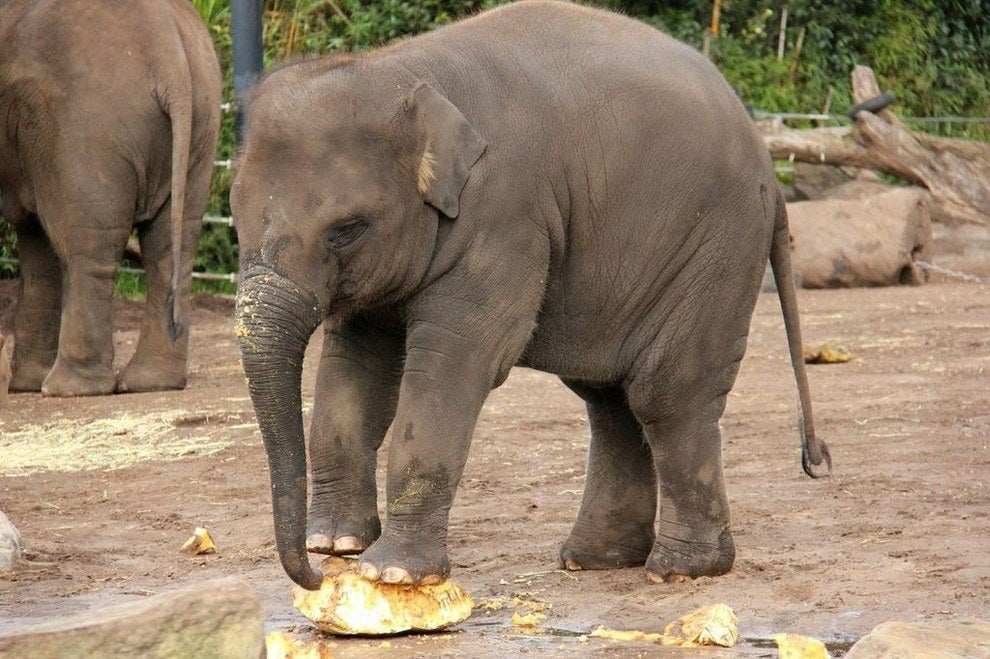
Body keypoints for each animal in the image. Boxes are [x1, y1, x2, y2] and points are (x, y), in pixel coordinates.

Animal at [0, 0, 222, 396]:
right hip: (202, 126)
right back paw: (148, 382)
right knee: (170, 248)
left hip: (85, 130)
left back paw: (67, 388)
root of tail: (170, 59)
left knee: (88, 249)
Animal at [232, 0, 832, 591]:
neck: (400, 71)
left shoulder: (504, 216)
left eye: (346, 229)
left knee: (664, 395)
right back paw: (595, 560)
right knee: (610, 400)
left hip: (716, 248)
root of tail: (768, 162)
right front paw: (336, 545)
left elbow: (460, 361)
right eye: (236, 217)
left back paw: (680, 569)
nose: (313, 580)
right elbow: (354, 368)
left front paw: (392, 573)